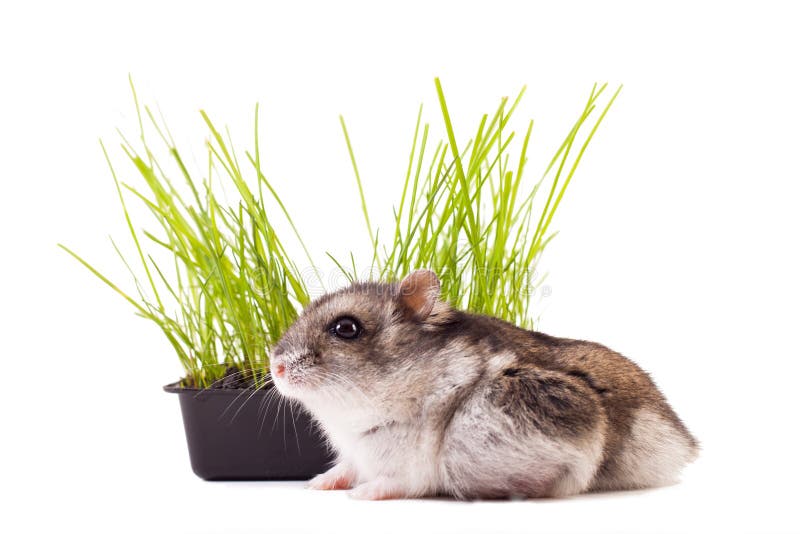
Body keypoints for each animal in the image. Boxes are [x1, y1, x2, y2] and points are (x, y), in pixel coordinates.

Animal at [271, 269, 698, 500]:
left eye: (346, 328)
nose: (275, 367)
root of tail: (686, 442)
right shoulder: (354, 455)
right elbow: (343, 469)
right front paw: (315, 485)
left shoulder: (413, 469)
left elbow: (397, 481)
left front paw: (362, 494)